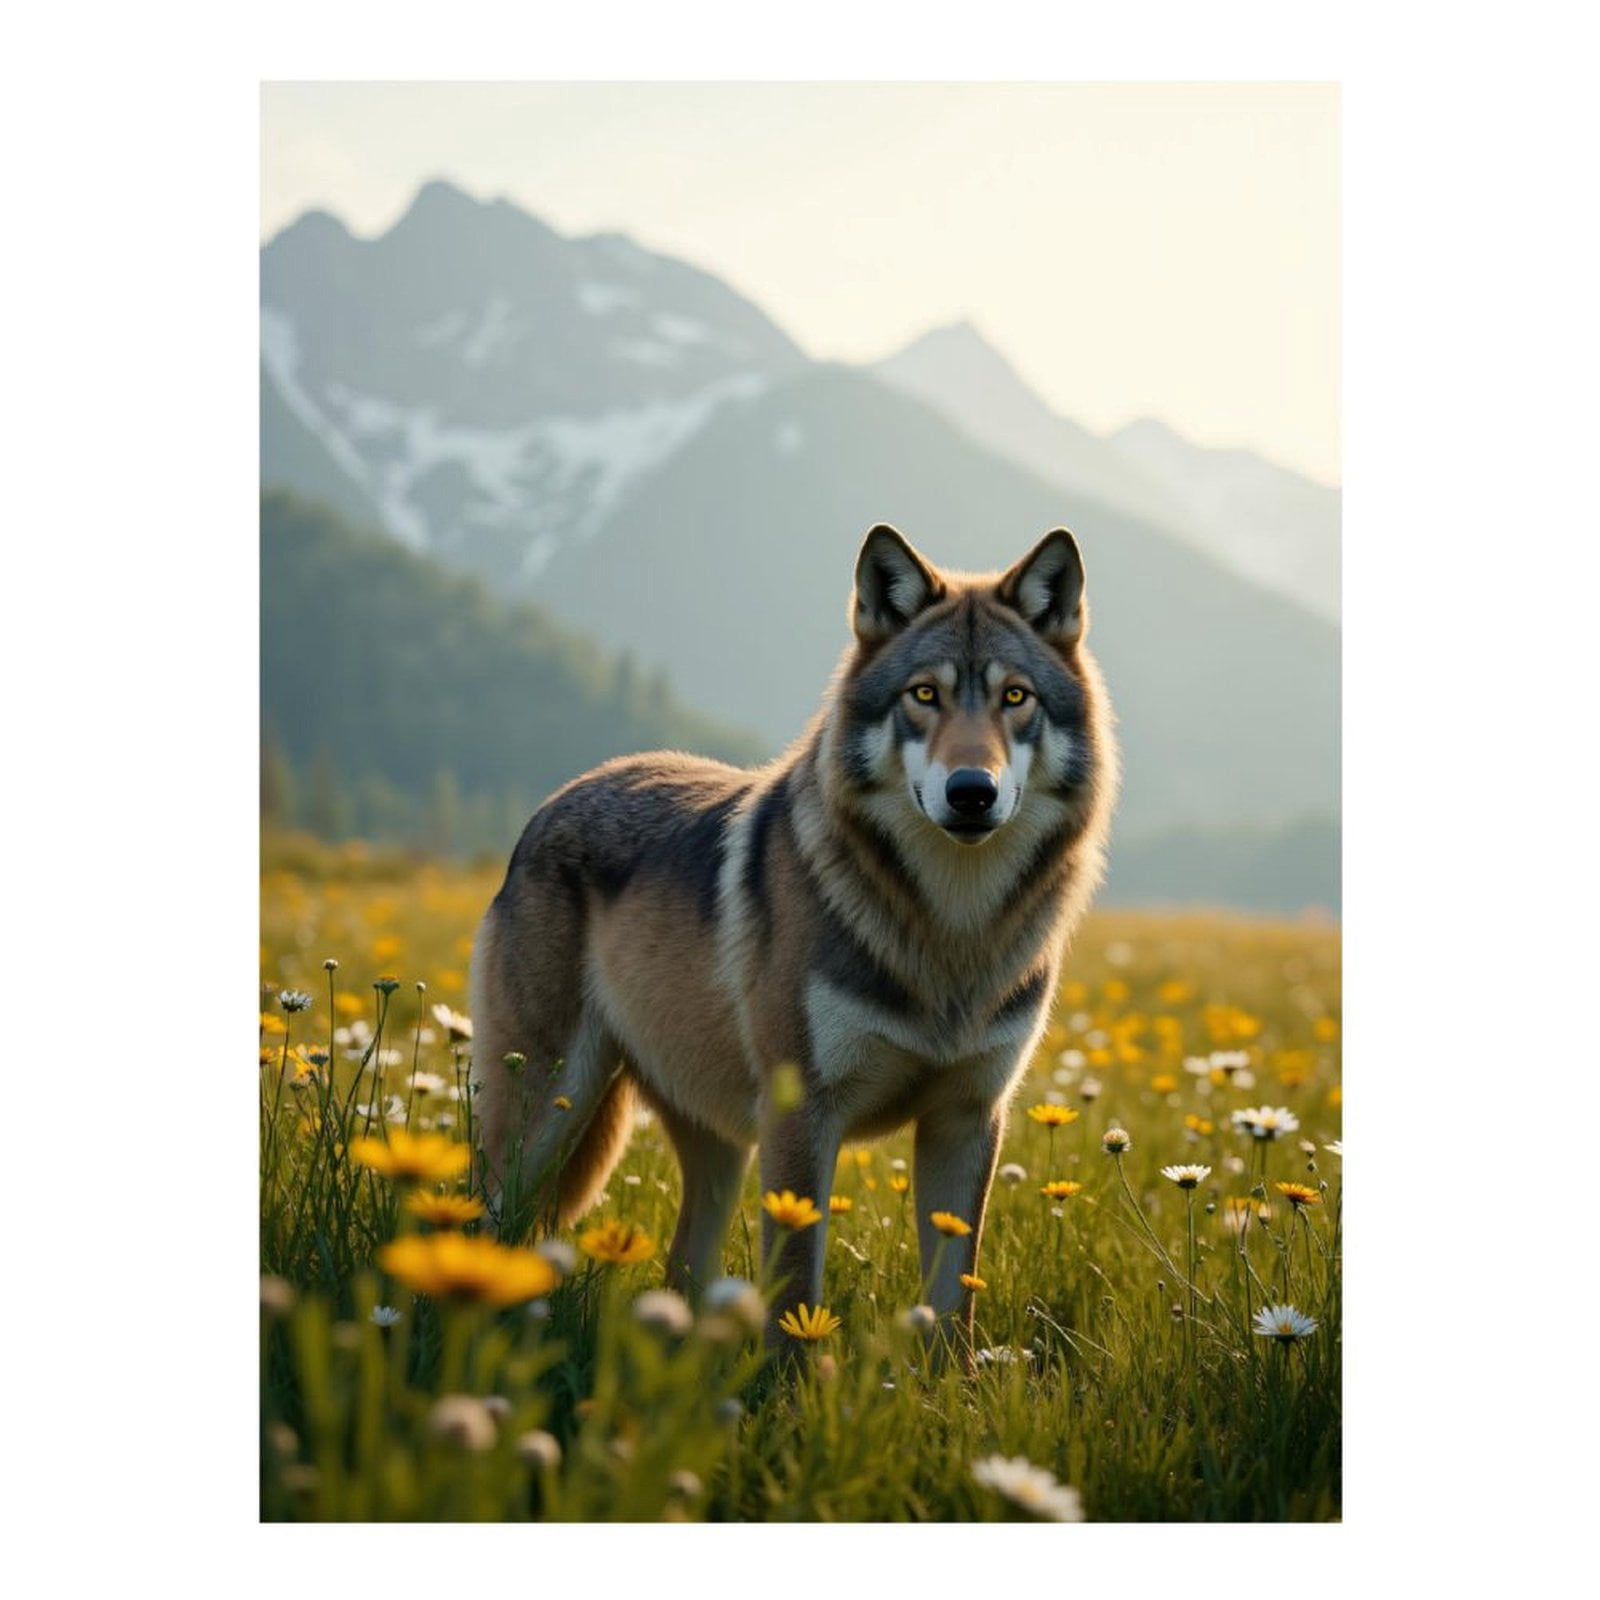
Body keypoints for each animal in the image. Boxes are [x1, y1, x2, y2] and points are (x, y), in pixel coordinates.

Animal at [470, 524, 1117, 1341]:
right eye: (924, 695)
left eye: (1015, 698)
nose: (972, 791)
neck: (950, 929)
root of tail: (562, 794)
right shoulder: (803, 1118)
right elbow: (792, 1301)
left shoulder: (967, 1121)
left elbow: (951, 1311)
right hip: (549, 1117)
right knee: (488, 1220)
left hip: (718, 1148)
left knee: (681, 1266)